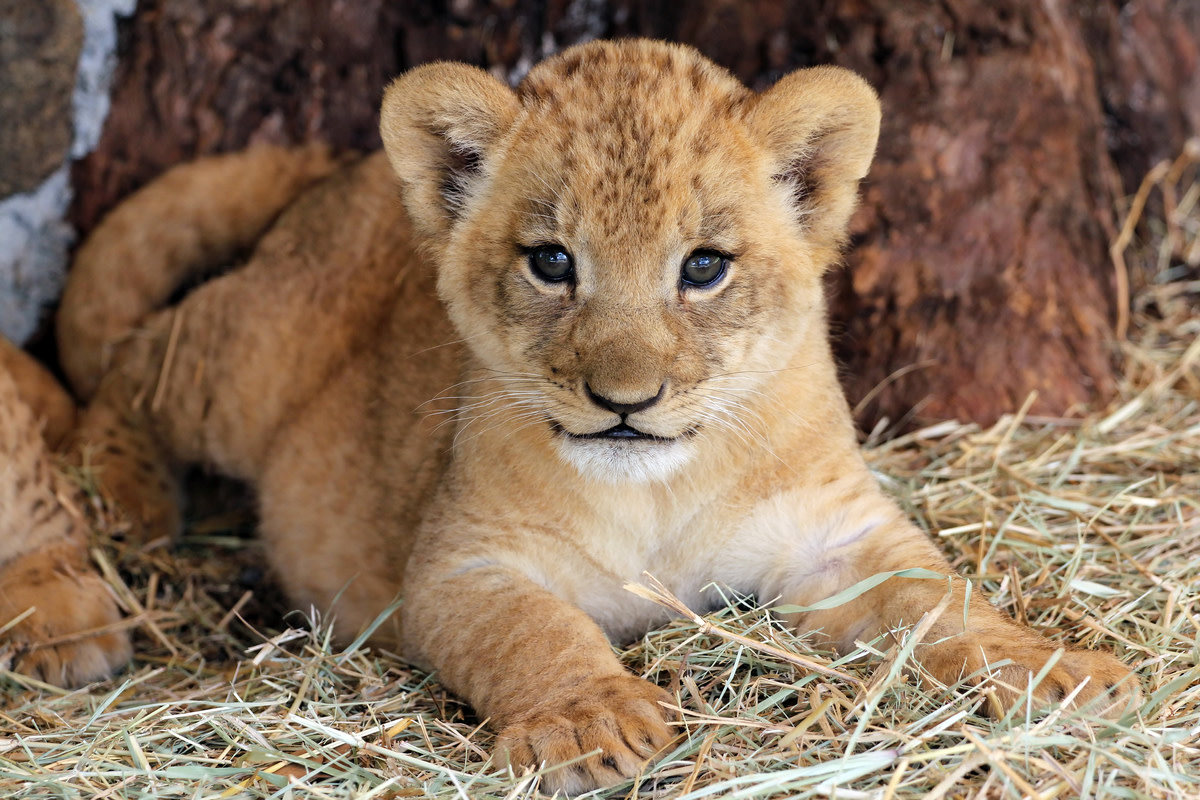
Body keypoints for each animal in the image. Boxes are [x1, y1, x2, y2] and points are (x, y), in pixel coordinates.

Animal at [55, 39, 1136, 793]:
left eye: (703, 266)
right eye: (551, 261)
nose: (626, 402)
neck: (661, 491)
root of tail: (343, 172)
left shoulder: (838, 538)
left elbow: (942, 602)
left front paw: (1058, 673)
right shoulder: (461, 563)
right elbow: (534, 631)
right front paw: (592, 724)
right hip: (254, 357)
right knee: (133, 357)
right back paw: (126, 498)